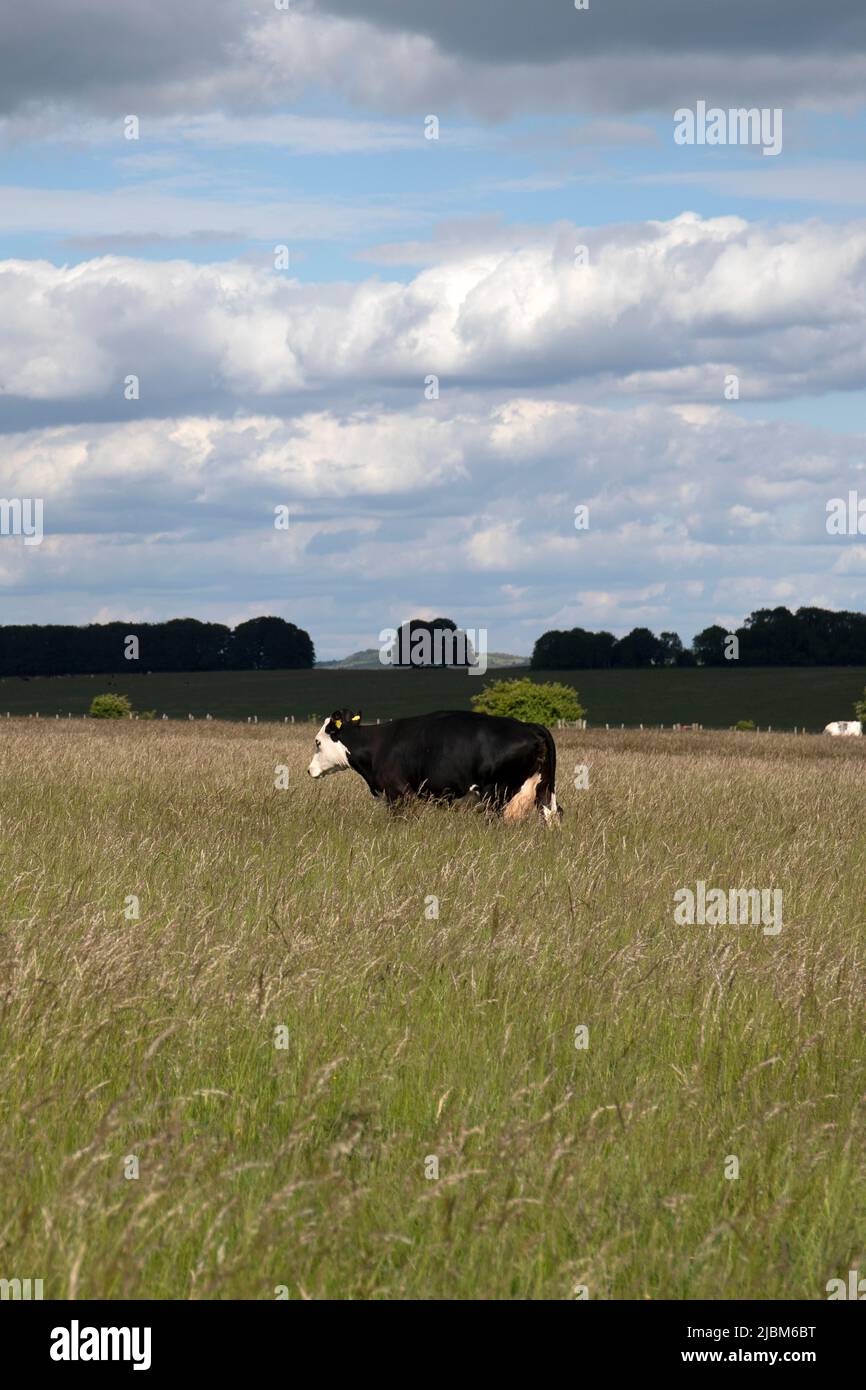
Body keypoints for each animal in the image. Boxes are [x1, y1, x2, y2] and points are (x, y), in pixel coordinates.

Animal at [307, 708, 561, 822]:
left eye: (317, 742)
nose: (309, 770)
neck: (378, 745)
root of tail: (529, 725)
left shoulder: (399, 794)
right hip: (543, 790)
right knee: (551, 816)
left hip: (497, 793)